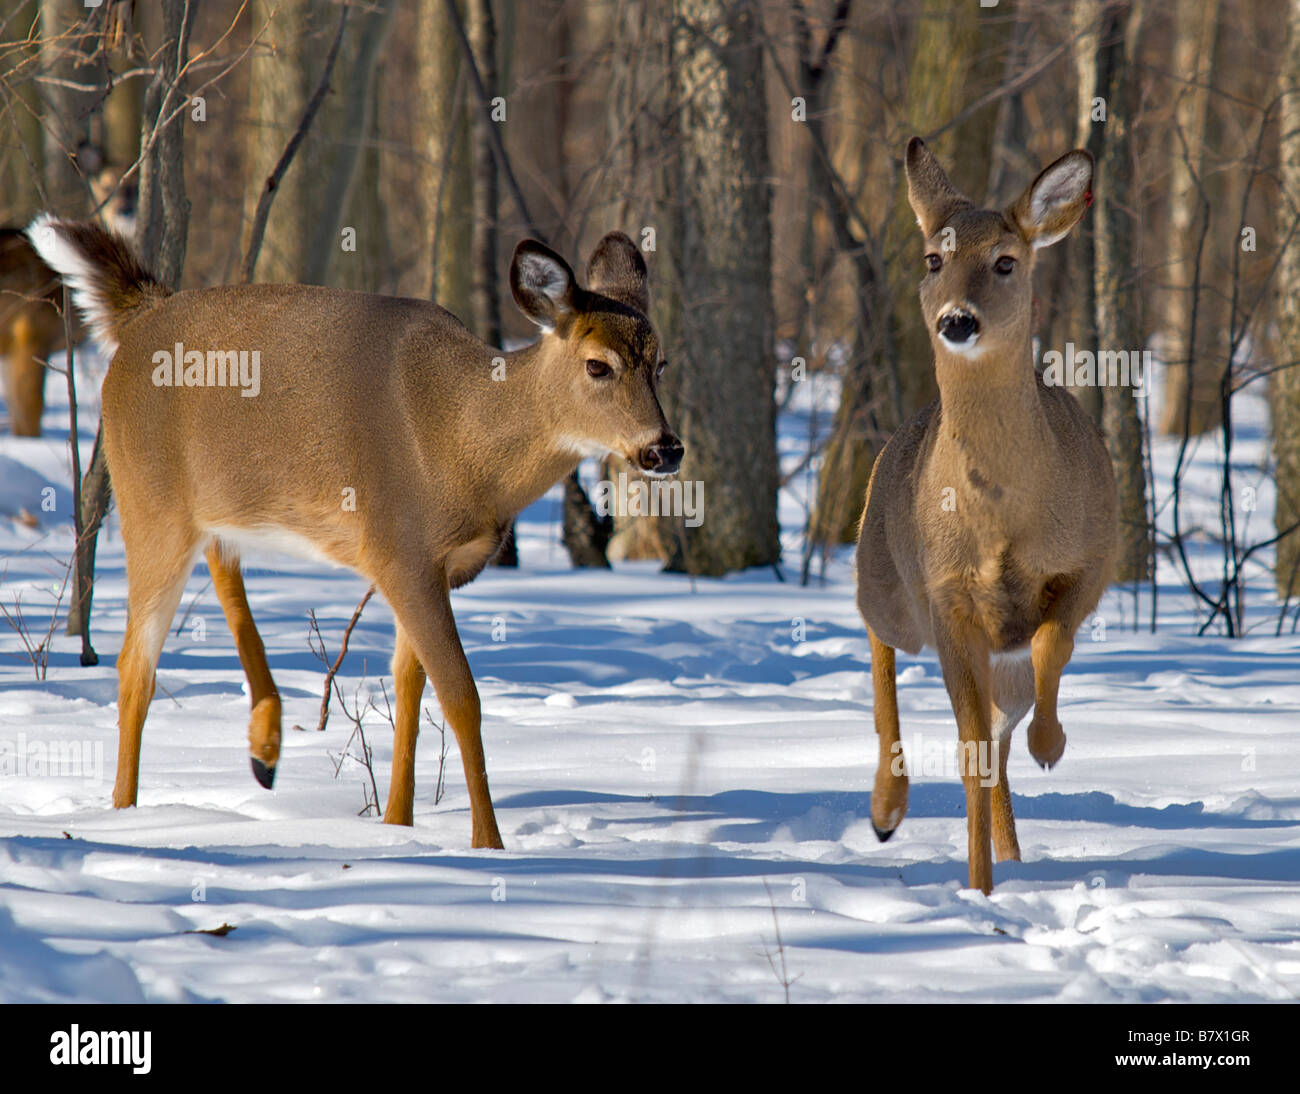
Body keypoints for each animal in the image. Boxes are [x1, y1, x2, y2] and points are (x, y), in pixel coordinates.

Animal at [26, 216, 682, 848]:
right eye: (598, 365)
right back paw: (125, 811)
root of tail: (141, 316)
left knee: (219, 567)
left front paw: (397, 824)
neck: (465, 444)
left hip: (214, 503)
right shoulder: (400, 549)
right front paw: (487, 844)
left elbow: (408, 689)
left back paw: (263, 750)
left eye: (661, 362)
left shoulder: (425, 568)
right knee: (135, 663)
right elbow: (461, 696)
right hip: (150, 501)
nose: (665, 449)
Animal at [856, 138, 1119, 894]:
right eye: (931, 259)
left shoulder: (1094, 561)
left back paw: (1011, 851)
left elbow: (1051, 644)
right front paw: (977, 890)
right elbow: (969, 749)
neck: (1003, 518)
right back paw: (888, 809)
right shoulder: (949, 599)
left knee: (1000, 731)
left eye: (1005, 260)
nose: (957, 320)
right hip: (888, 579)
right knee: (878, 635)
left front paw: (1051, 743)